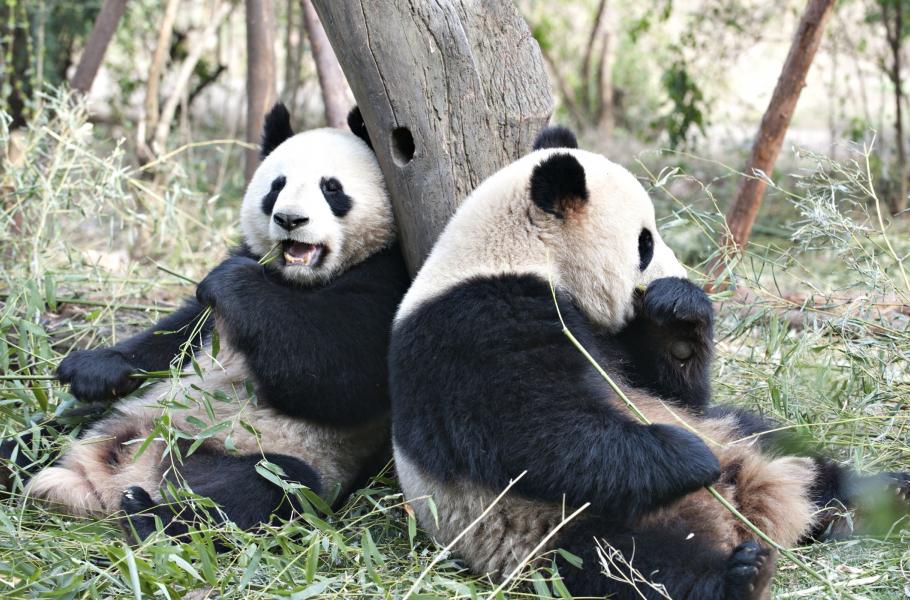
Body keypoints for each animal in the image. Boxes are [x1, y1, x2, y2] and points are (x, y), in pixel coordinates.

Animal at [21, 103, 410, 540]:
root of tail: (100, 483)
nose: (290, 219)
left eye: (331, 188)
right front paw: (94, 369)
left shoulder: (390, 282)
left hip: (261, 456)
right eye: (276, 186)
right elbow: (178, 335)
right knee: (39, 436)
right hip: (106, 420)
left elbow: (339, 373)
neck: (298, 280)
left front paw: (232, 279)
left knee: (263, 490)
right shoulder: (220, 307)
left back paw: (148, 514)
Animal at [389, 126, 910, 599]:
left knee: (784, 446)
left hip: (739, 437)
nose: (679, 273)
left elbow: (665, 387)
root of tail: (748, 508)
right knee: (633, 562)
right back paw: (741, 575)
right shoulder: (470, 326)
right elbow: (535, 430)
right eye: (645, 243)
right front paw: (690, 457)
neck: (514, 253)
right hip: (559, 524)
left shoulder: (610, 340)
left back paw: (883, 495)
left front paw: (678, 310)